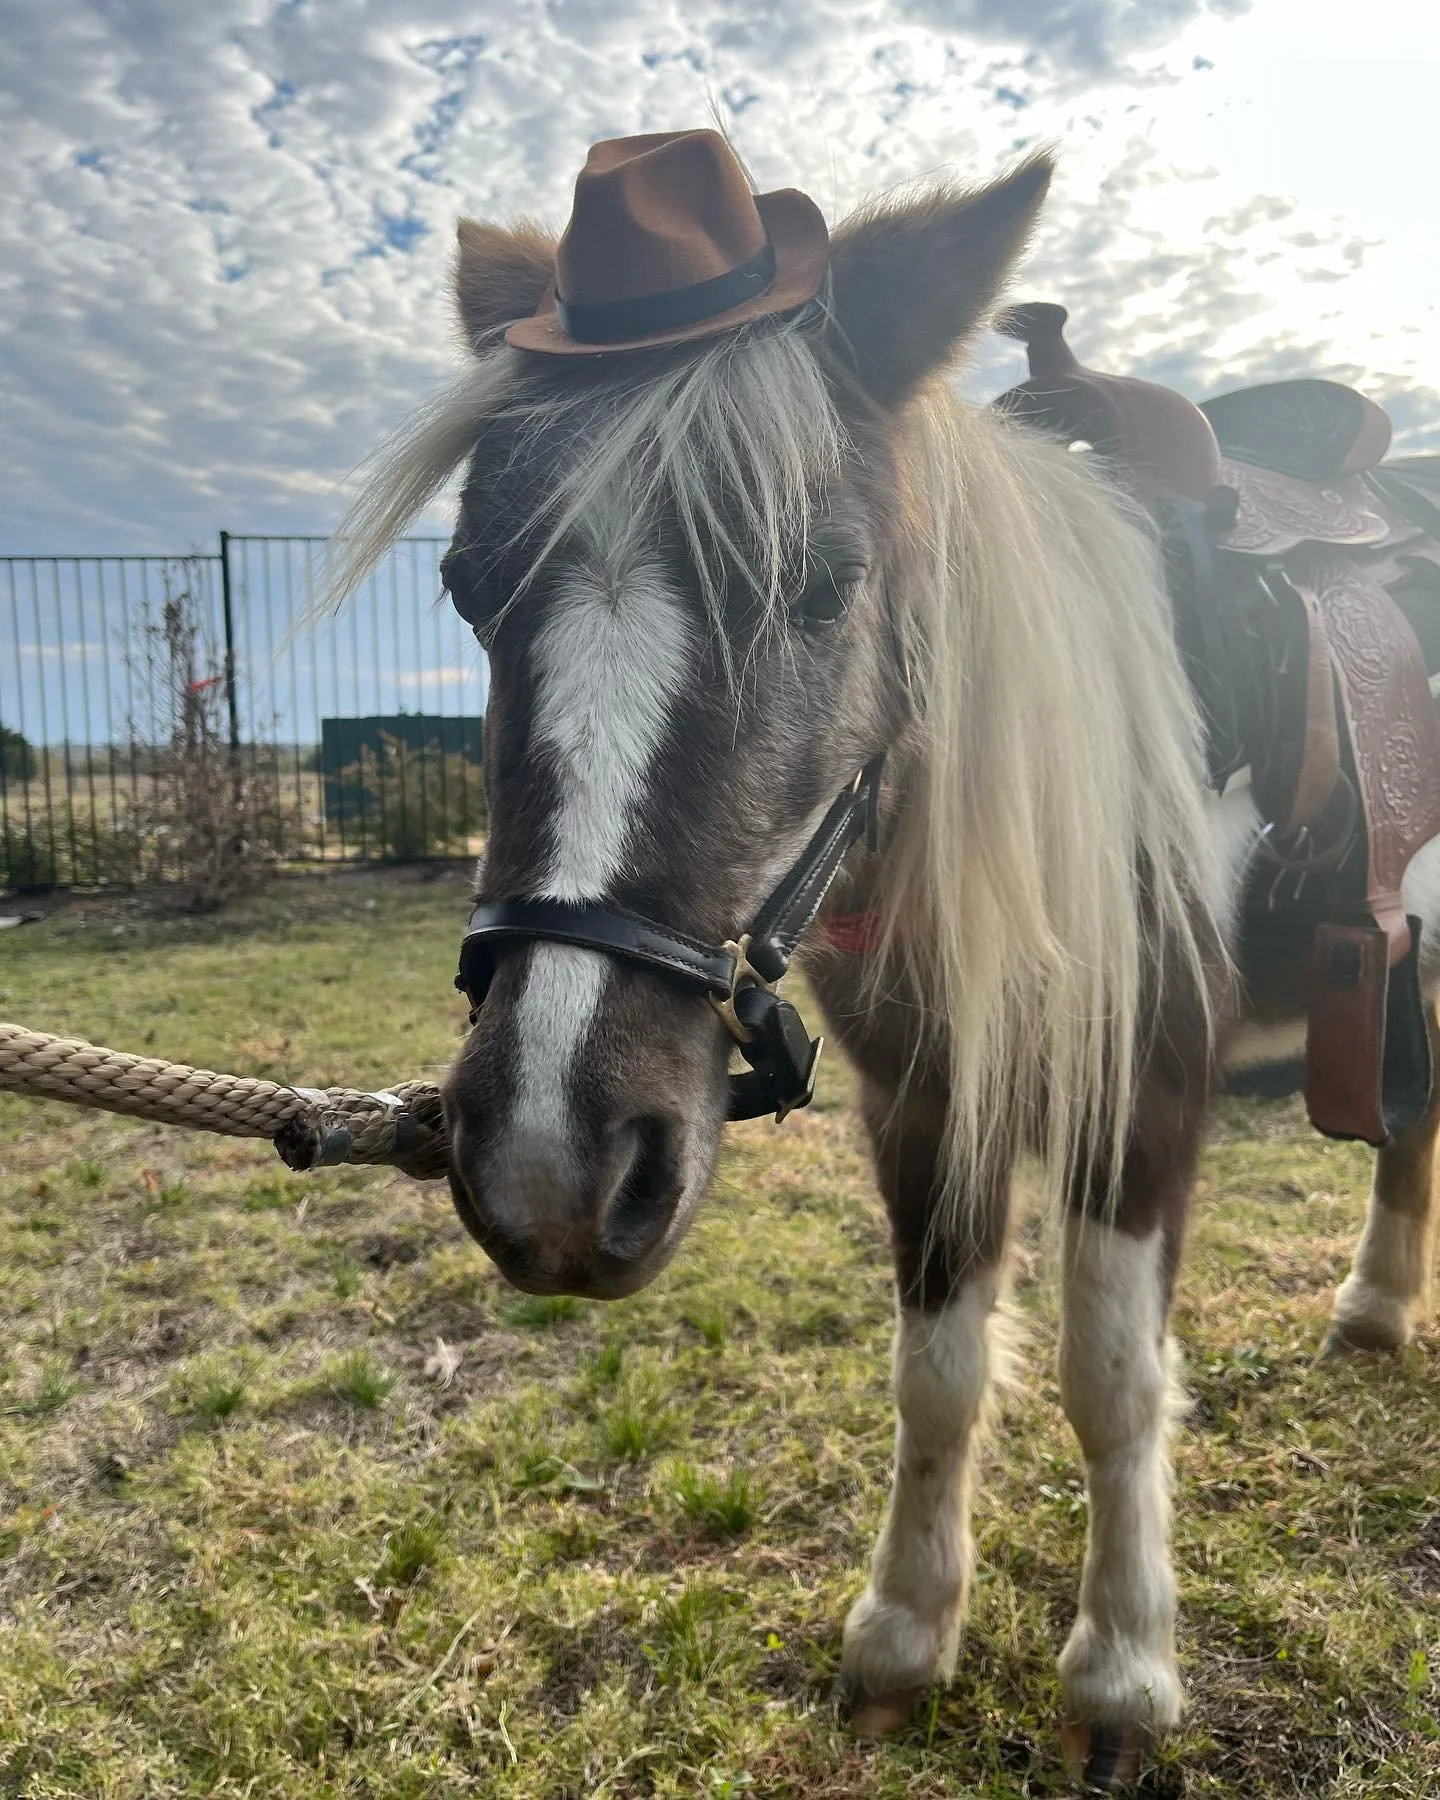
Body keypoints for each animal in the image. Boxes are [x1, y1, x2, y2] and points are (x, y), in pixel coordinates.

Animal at [329, 145, 1439, 1786]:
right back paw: (1372, 1313)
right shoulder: (918, 1095)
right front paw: (906, 1636)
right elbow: (939, 1374)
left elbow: (1114, 1383)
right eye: (471, 591)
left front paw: (1123, 1673)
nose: (546, 1164)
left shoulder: (1146, 1089)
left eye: (825, 583)